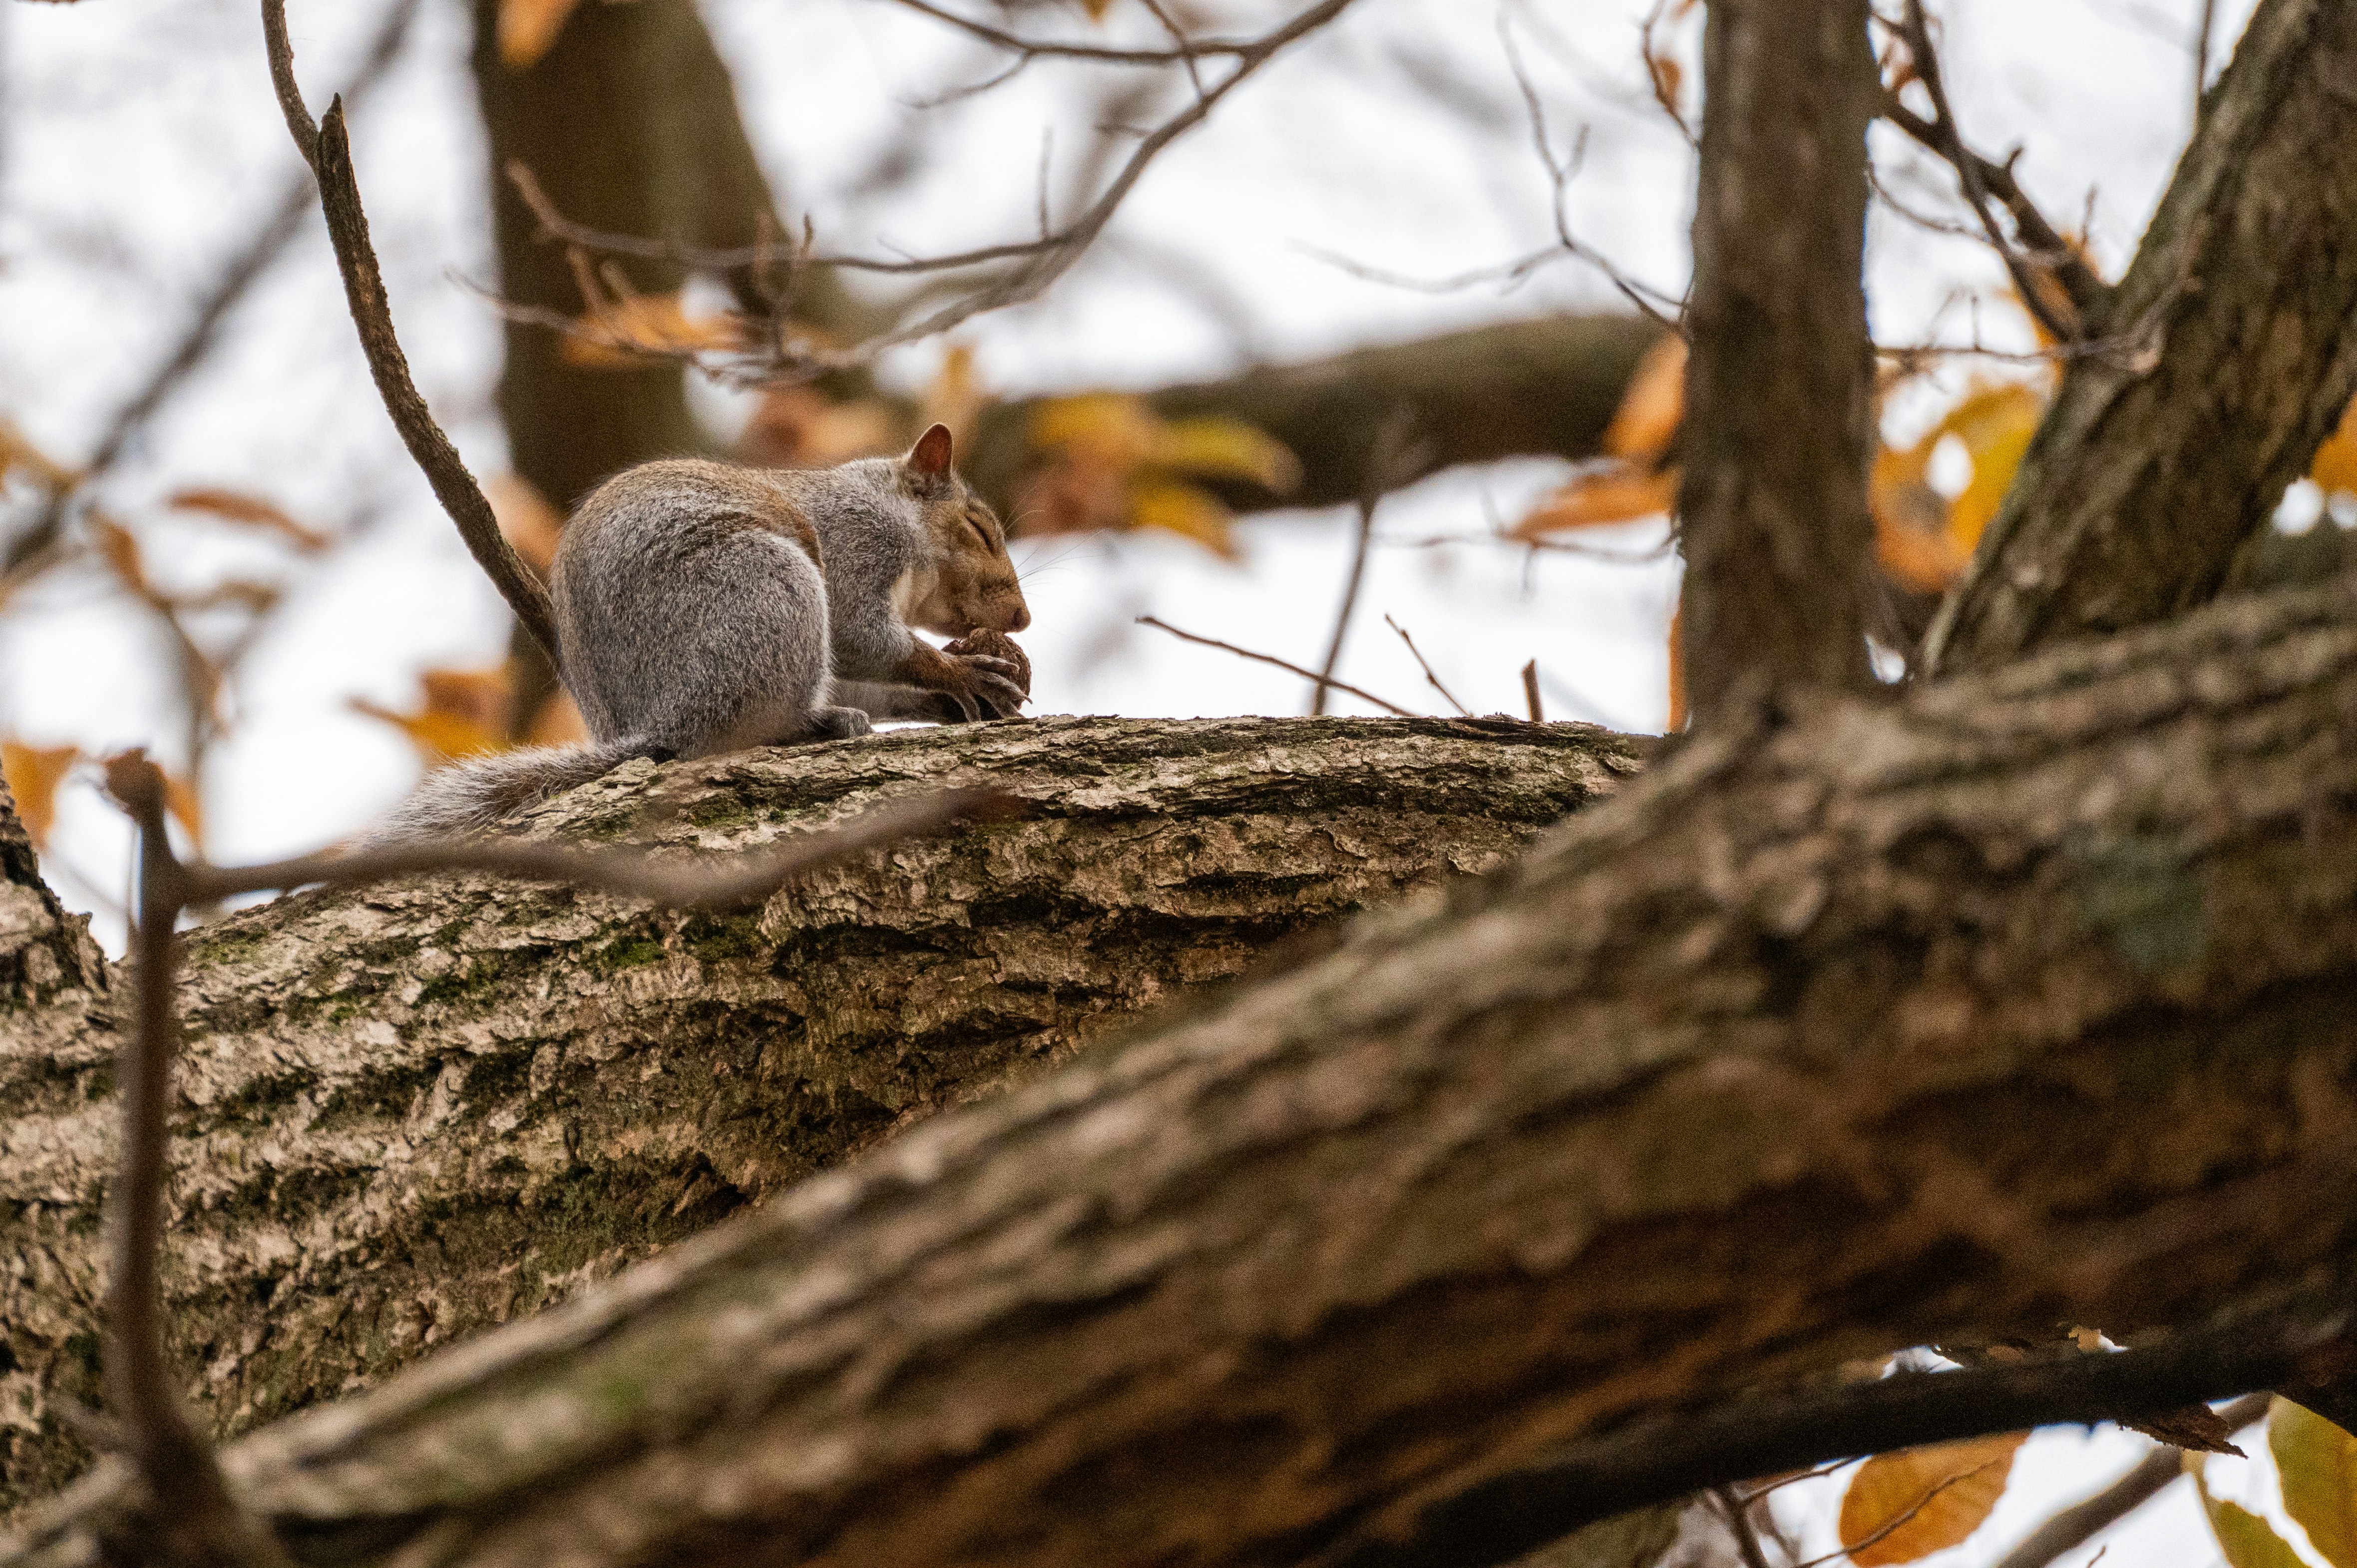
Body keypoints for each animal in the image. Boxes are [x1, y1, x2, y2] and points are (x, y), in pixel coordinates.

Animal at [372, 424, 1030, 839]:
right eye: (979, 530)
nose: (1022, 618)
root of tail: (661, 724)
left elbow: (861, 675)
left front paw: (948, 702)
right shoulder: (855, 550)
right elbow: (861, 633)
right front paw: (960, 672)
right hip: (764, 591)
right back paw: (813, 727)